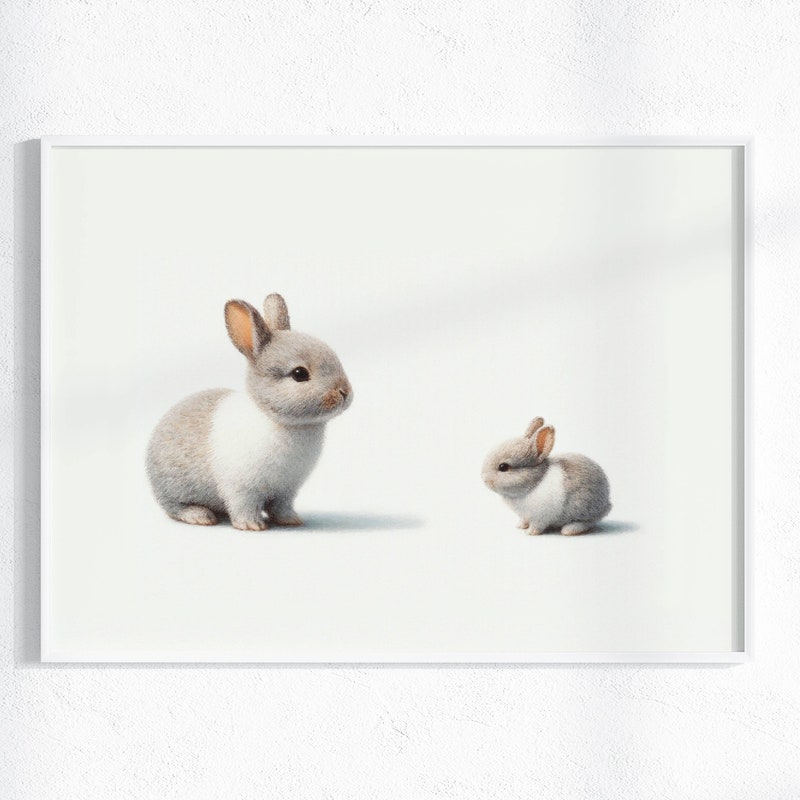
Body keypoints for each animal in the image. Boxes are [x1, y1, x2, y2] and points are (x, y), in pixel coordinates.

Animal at [146, 293, 352, 530]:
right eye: (299, 374)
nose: (345, 392)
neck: (275, 418)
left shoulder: (286, 490)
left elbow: (281, 507)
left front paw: (291, 520)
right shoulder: (242, 489)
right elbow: (243, 505)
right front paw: (252, 525)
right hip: (174, 487)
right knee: (174, 507)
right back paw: (200, 516)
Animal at [481, 417, 611, 535]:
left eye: (503, 467)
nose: (484, 478)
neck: (535, 483)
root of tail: (607, 503)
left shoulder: (540, 518)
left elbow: (537, 526)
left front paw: (530, 532)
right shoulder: (525, 516)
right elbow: (524, 520)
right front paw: (520, 526)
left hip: (584, 508)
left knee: (588, 522)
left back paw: (569, 530)